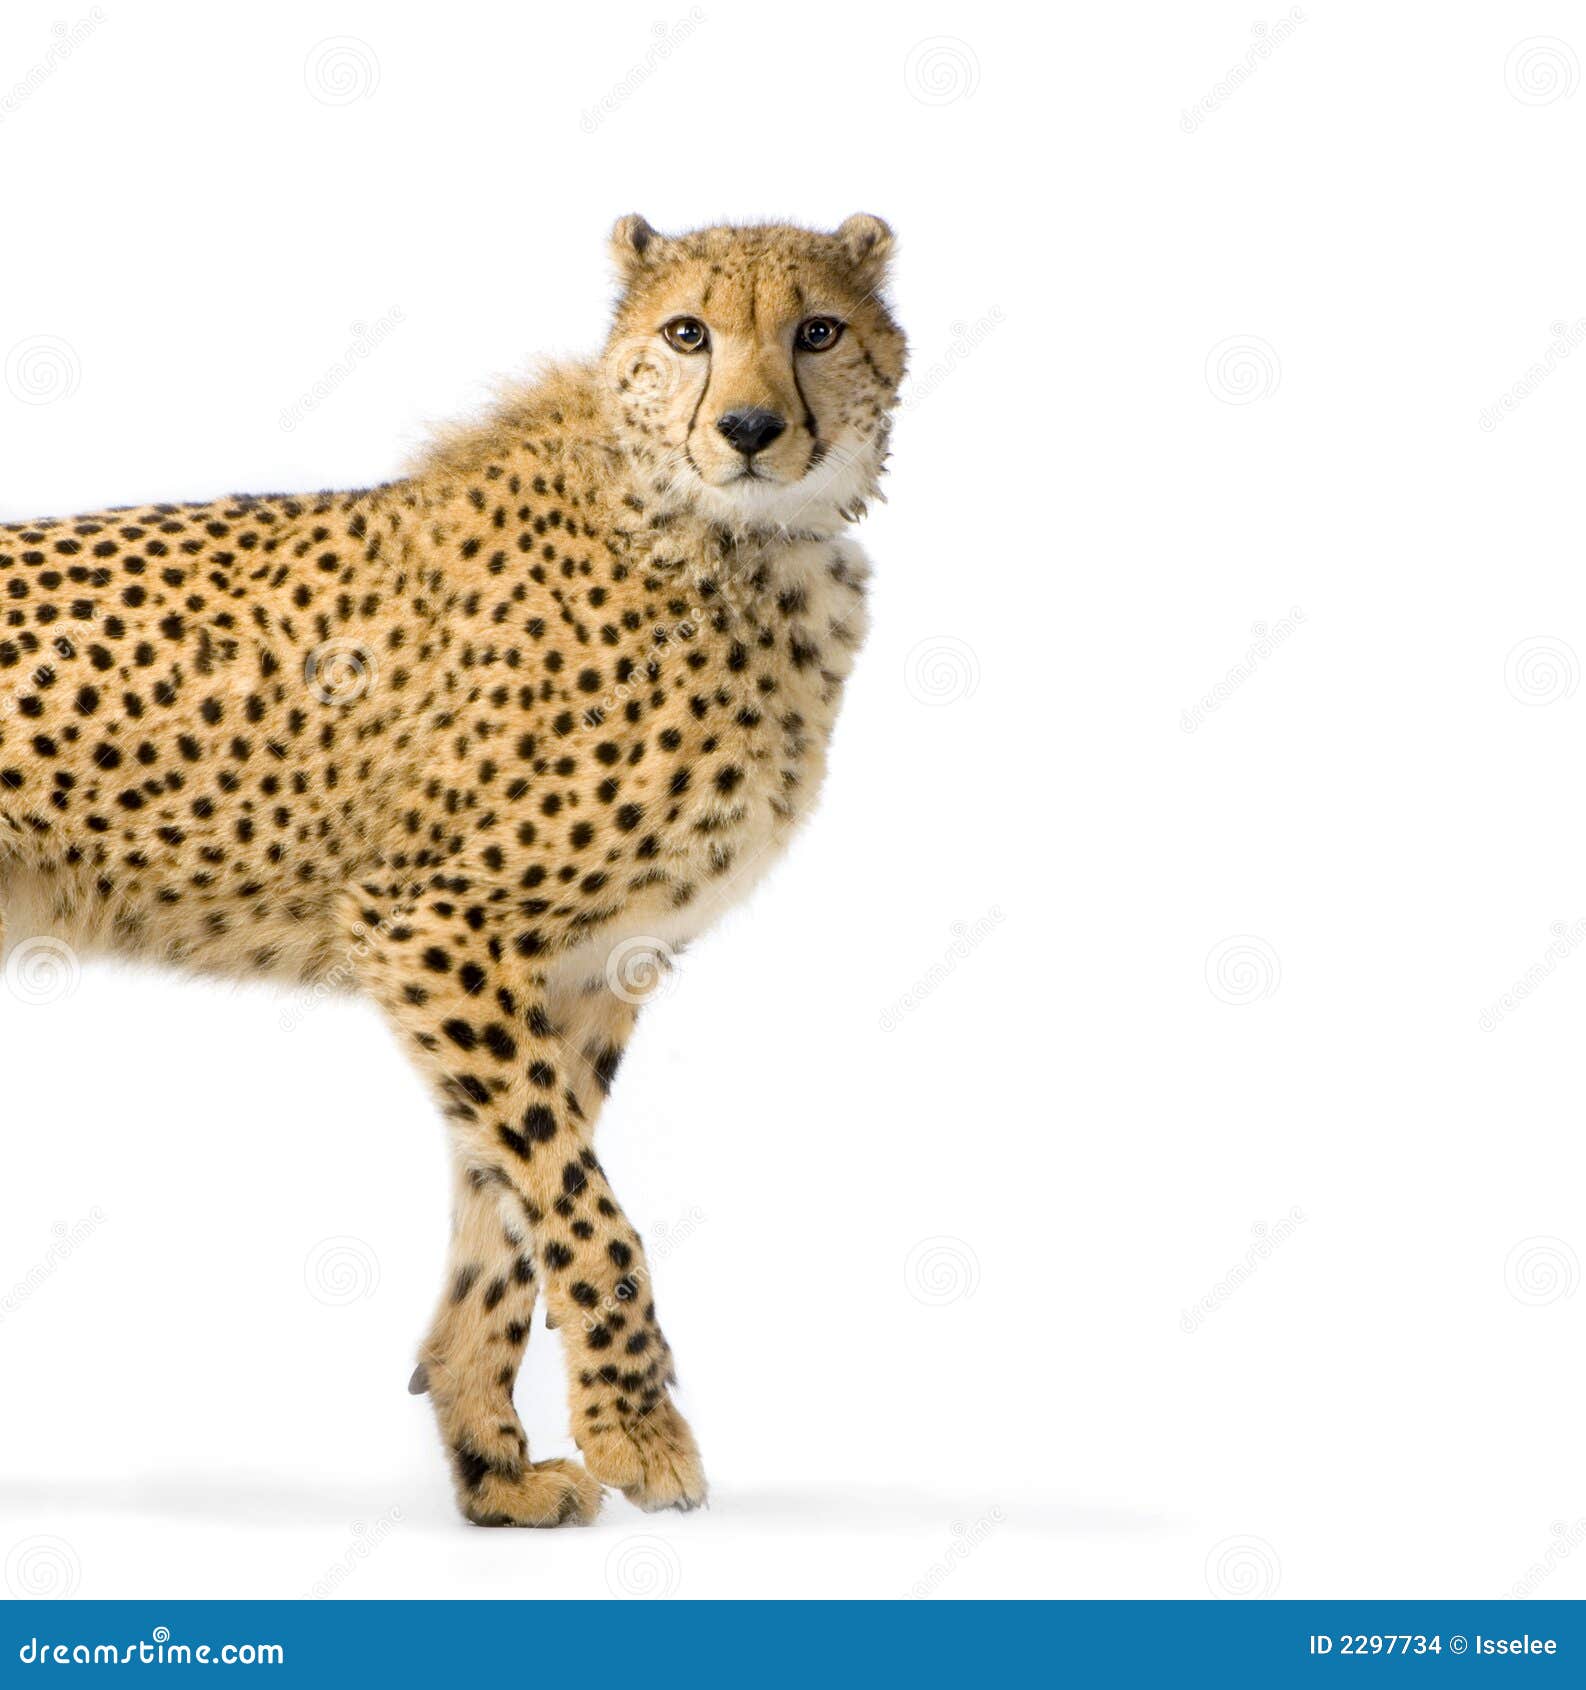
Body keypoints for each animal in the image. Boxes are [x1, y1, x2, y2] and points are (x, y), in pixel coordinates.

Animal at [0, 214, 906, 1526]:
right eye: (688, 332)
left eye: (819, 330)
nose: (747, 428)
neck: (714, 535)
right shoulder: (425, 926)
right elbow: (586, 1208)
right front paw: (638, 1430)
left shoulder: (582, 971)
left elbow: (511, 1216)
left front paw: (495, 1465)